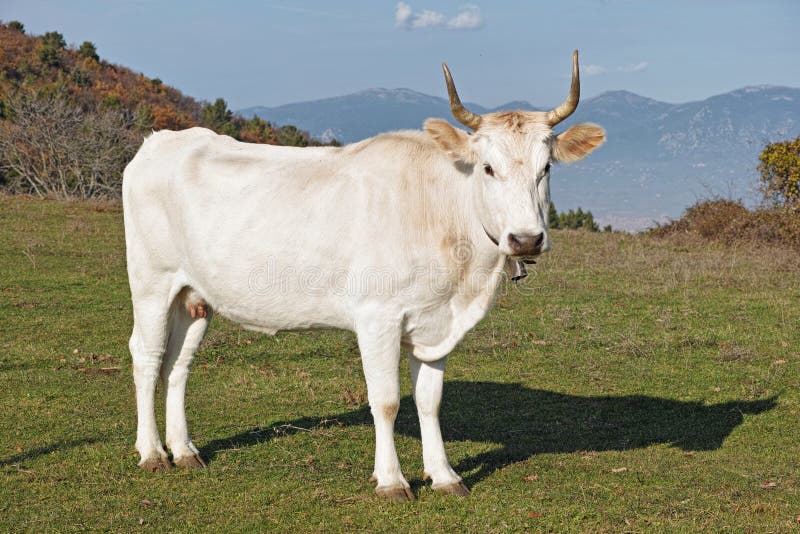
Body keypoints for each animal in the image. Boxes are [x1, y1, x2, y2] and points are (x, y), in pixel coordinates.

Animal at [122, 51, 605, 501]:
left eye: (546, 168)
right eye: (488, 167)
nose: (525, 239)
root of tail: (162, 141)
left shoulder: (436, 322)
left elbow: (429, 402)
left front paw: (445, 475)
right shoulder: (377, 316)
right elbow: (387, 402)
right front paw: (391, 481)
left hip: (193, 293)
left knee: (178, 362)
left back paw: (185, 450)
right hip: (151, 281)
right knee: (147, 356)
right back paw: (152, 453)